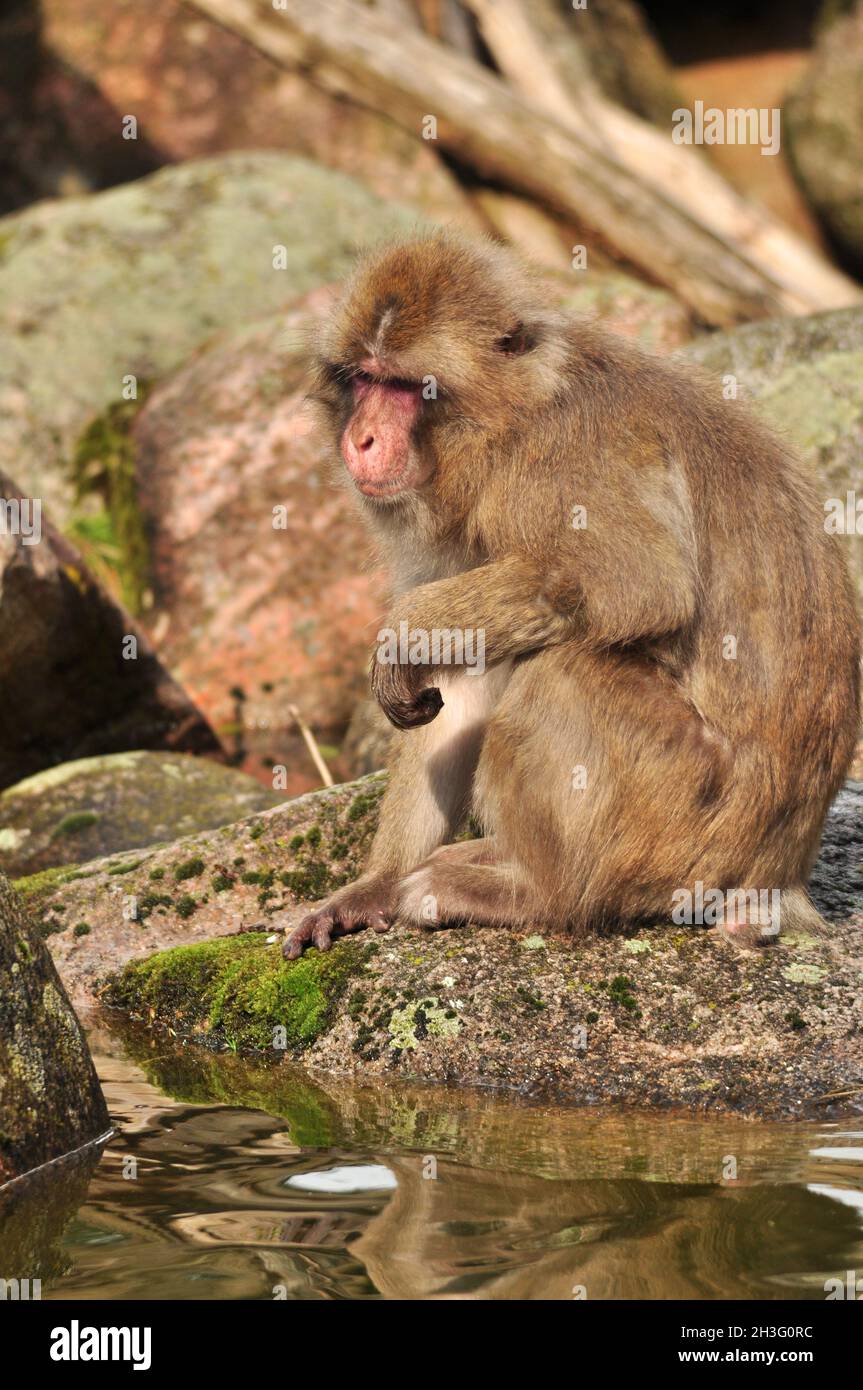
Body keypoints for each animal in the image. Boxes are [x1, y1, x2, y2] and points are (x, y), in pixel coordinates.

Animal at [283, 231, 860, 959]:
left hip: (692, 827)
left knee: (563, 670)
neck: (510, 421)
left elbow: (637, 583)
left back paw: (540, 893)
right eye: (362, 378)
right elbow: (456, 675)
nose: (359, 438)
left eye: (405, 386)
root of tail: (780, 879)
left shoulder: (560, 465)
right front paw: (374, 886)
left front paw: (401, 635)